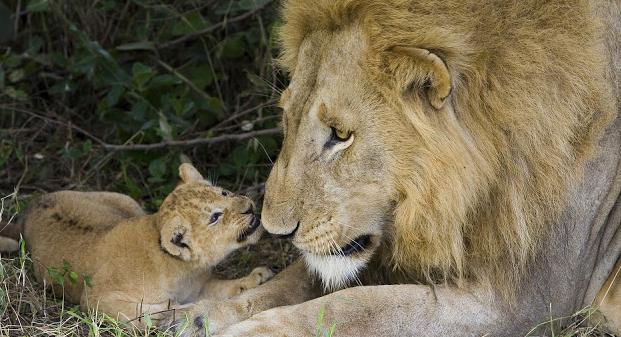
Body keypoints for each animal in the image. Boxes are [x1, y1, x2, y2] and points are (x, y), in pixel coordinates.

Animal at [177, 0, 616, 336]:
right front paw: (193, 317)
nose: (275, 230)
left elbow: (355, 307)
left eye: (340, 134)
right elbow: (292, 280)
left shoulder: (526, 300)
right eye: (288, 117)